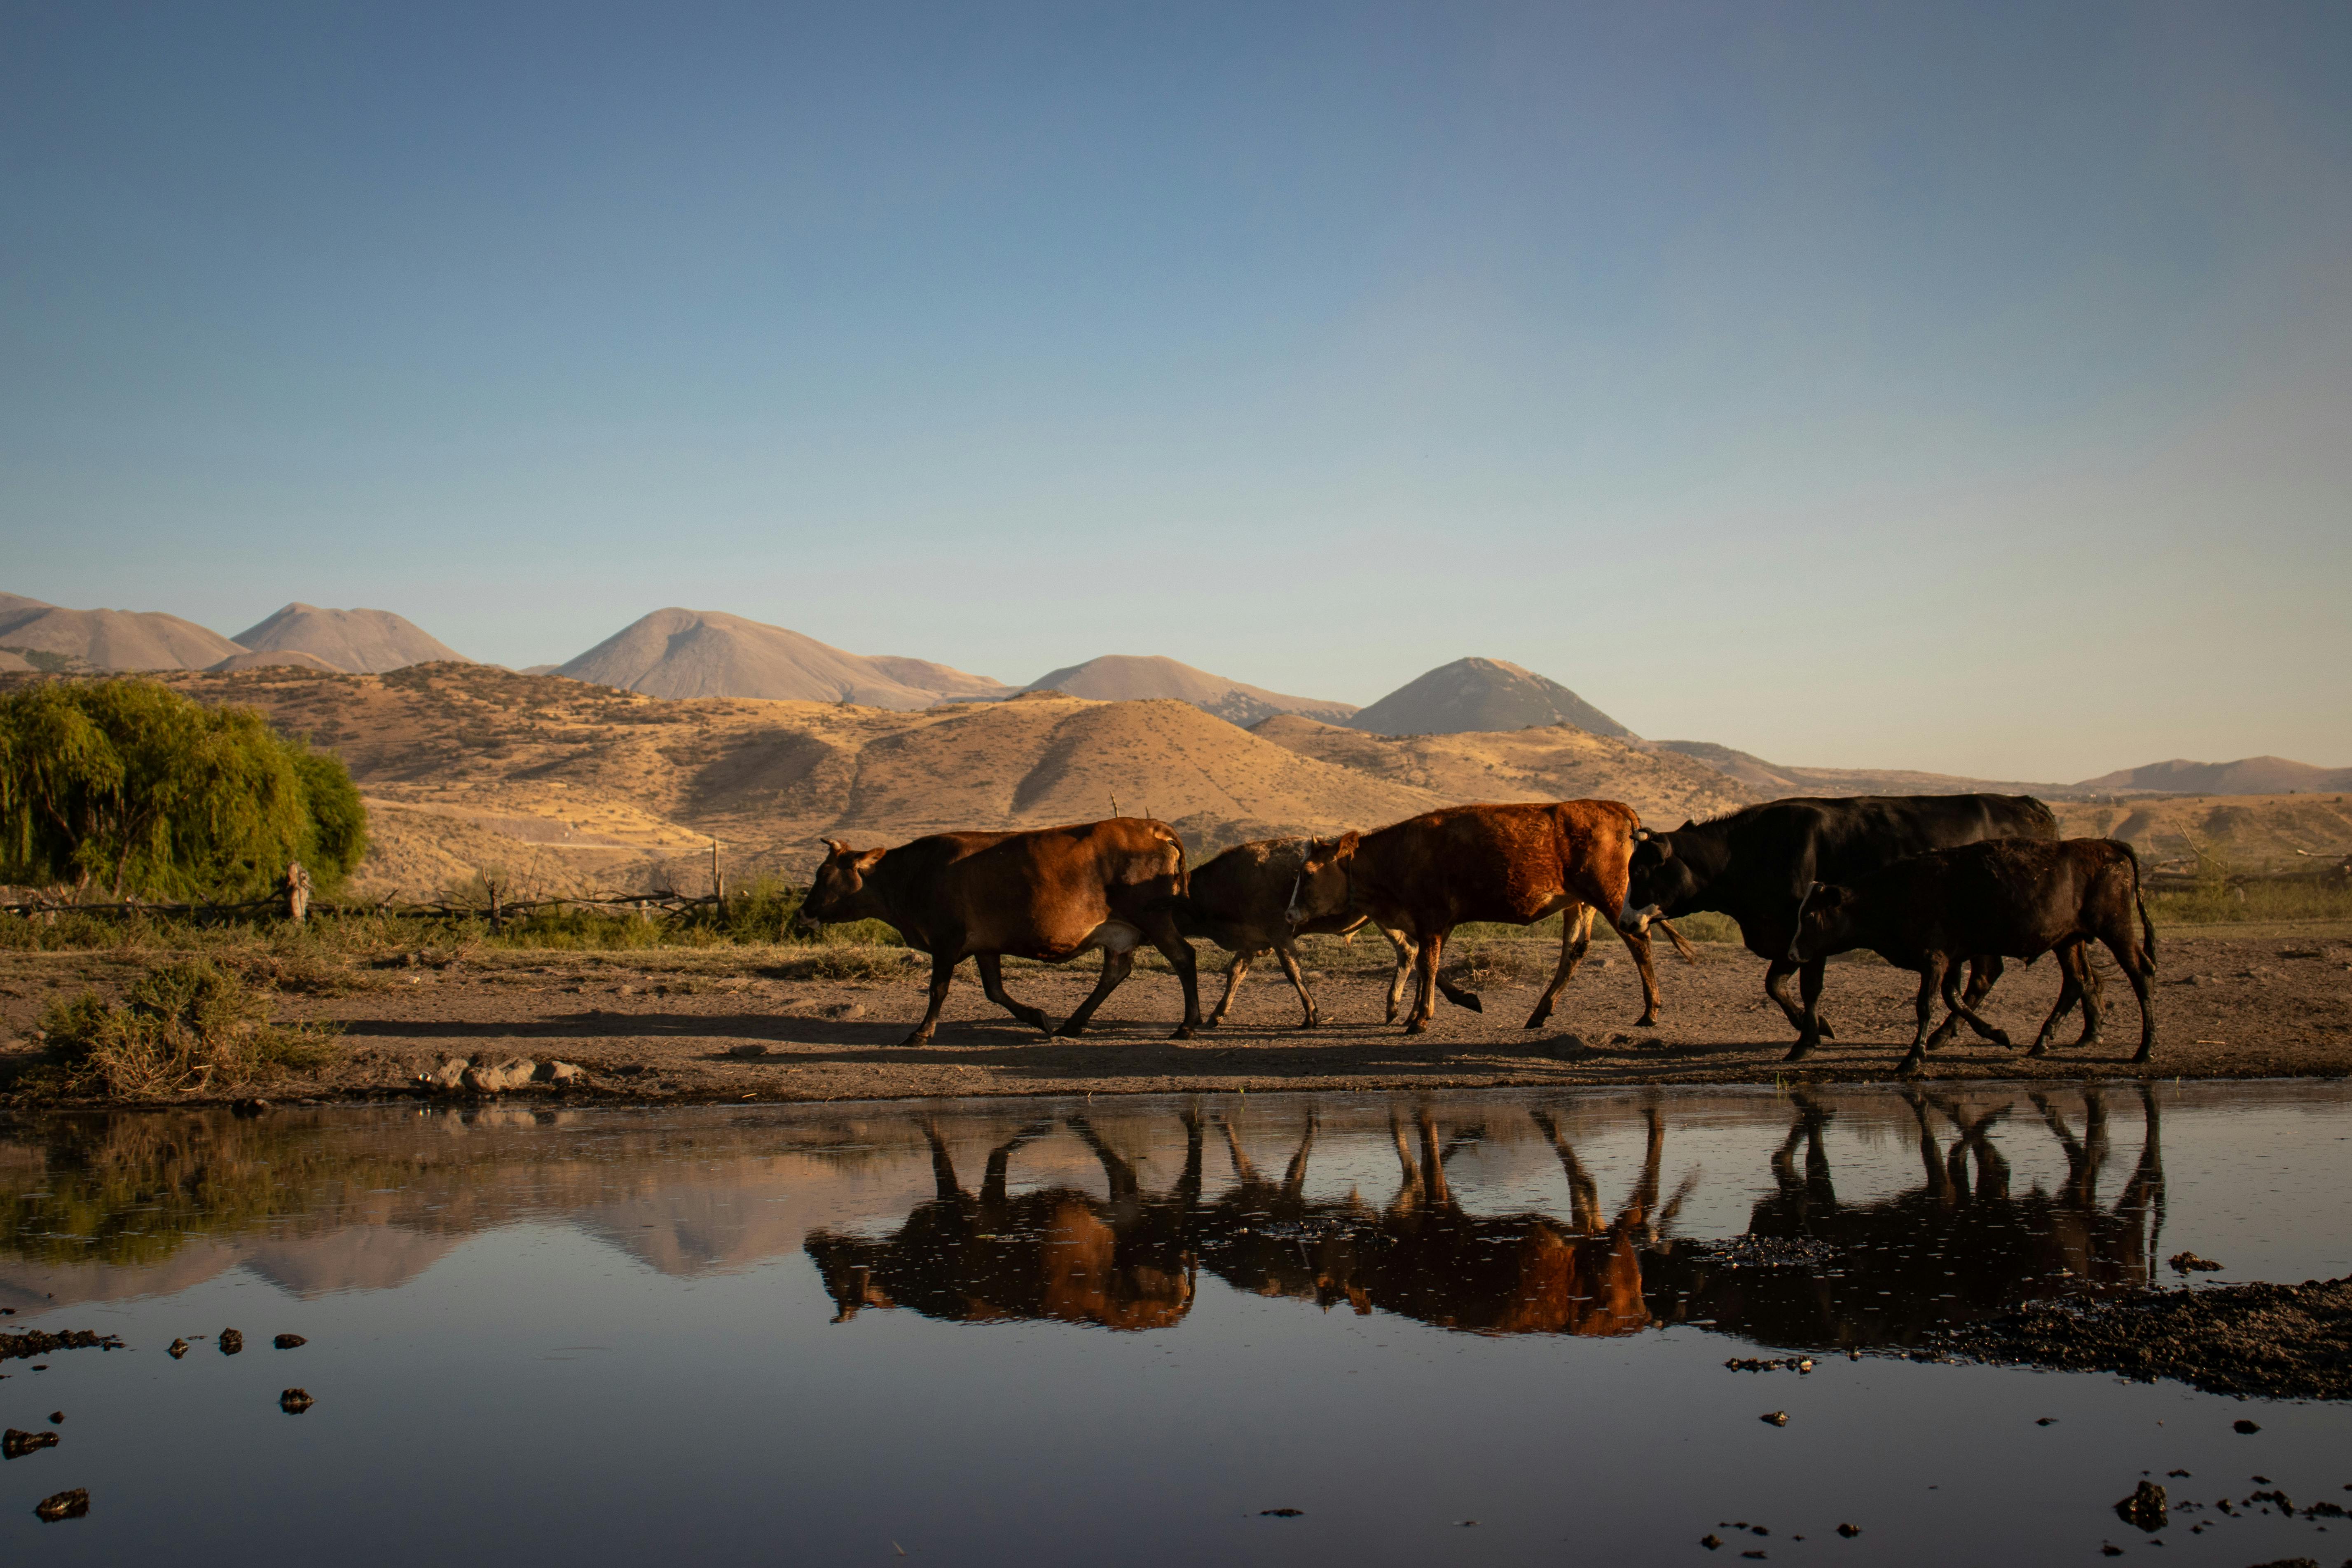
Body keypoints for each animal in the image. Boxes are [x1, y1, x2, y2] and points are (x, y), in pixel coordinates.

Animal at [797, 817, 1202, 1046]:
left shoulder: (946, 941)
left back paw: (1187, 1025)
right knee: (1115, 973)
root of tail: (1152, 827)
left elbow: (938, 989)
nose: (803, 913)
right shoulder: (985, 946)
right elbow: (995, 992)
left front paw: (921, 1033)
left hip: (1154, 919)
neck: (911, 874)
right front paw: (1038, 1017)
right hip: (1119, 932)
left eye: (823, 873)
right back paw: (1072, 1024)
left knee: (1184, 957)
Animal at [1177, 836, 1421, 1027]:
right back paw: (1414, 1014)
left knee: (1408, 952)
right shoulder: (1253, 942)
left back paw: (1394, 1008)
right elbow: (1235, 973)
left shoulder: (1279, 934)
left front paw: (1311, 1015)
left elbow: (1292, 971)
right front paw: (1217, 1014)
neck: (1233, 878)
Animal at [1284, 801, 1681, 1035]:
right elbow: (1428, 967)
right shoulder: (1427, 924)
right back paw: (1539, 1014)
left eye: (1307, 873)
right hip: (1579, 904)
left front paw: (1420, 1019)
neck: (1395, 856)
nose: (1289, 913)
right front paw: (1442, 1005)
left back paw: (1650, 1012)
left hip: (1611, 898)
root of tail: (1614, 808)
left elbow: (1427, 966)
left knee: (1638, 943)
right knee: (1573, 952)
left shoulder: (1430, 920)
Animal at [1615, 794, 2058, 1059]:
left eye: (1639, 872)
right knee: (1986, 974)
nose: (1624, 920)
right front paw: (1814, 1028)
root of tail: (2030, 805)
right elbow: (1774, 985)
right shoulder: (1787, 940)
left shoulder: (1808, 936)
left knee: (1985, 975)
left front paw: (1806, 1040)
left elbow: (1804, 987)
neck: (1750, 851)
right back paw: (1952, 1035)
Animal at [1785, 836, 2157, 1075]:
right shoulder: (1951, 958)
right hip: (2067, 940)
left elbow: (1927, 1006)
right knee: (2075, 982)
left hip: (2115, 929)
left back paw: (2145, 1049)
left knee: (2140, 973)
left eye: (1811, 917)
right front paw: (1996, 1034)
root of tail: (2107, 846)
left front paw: (1912, 1058)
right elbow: (1953, 997)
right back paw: (2042, 1041)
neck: (1897, 892)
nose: (1792, 954)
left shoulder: (1934, 960)